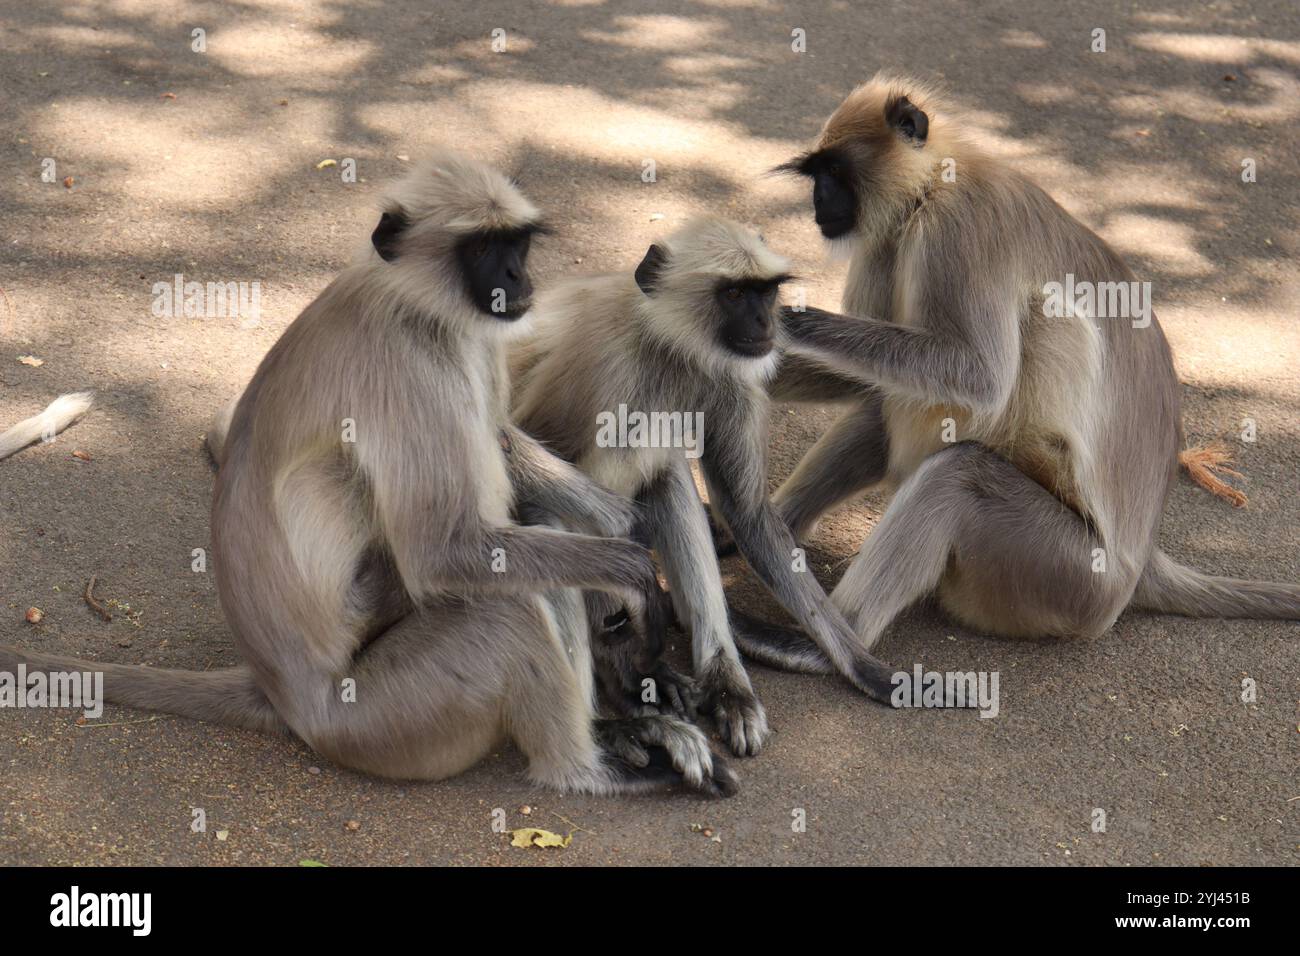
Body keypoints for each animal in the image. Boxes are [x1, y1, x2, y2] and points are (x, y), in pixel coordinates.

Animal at [0, 152, 736, 797]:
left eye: (517, 245)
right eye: (481, 249)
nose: (517, 278)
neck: (414, 303)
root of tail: (282, 691)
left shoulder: (472, 339)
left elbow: (502, 438)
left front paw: (628, 526)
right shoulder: (404, 366)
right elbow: (442, 553)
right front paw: (635, 574)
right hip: (381, 714)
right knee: (507, 603)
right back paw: (587, 768)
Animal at [511, 216, 900, 757]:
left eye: (764, 292)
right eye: (734, 294)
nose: (764, 322)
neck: (667, 344)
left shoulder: (734, 378)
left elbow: (746, 512)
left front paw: (863, 667)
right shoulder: (605, 360)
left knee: (666, 472)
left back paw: (724, 682)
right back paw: (609, 701)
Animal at [742, 73, 1300, 669]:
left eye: (834, 173)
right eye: (817, 177)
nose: (818, 203)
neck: (932, 185)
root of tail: (1142, 561)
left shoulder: (958, 226)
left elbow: (982, 378)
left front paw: (780, 319)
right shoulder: (888, 238)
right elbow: (872, 379)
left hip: (1064, 573)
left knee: (957, 471)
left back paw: (825, 645)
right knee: (883, 404)